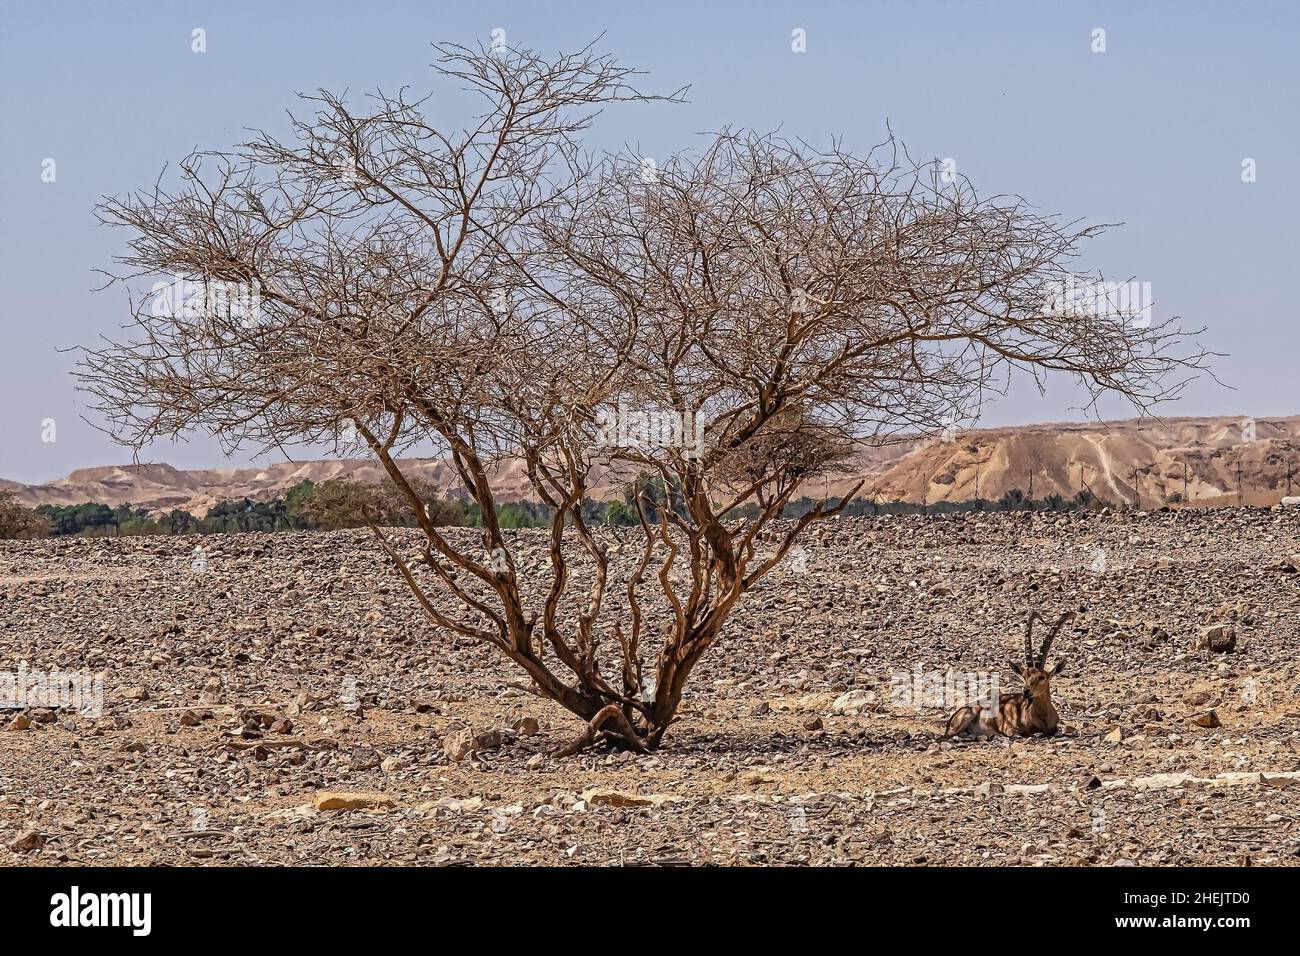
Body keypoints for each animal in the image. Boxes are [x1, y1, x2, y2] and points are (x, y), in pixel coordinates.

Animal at [943, 610, 1075, 740]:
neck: (1040, 716)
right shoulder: (1008, 728)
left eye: (1042, 677)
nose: (1026, 691)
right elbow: (1024, 734)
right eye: (1024, 676)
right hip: (967, 716)